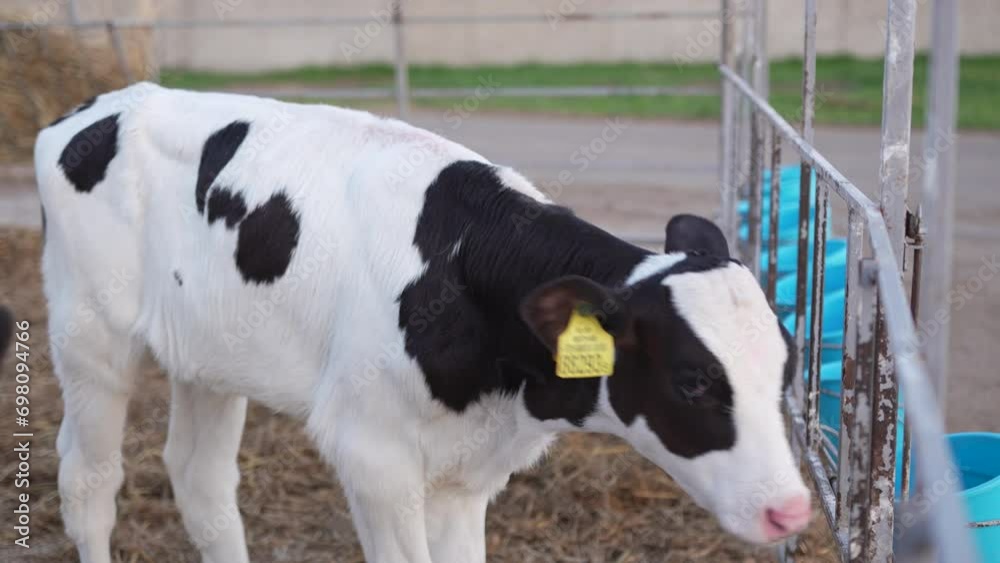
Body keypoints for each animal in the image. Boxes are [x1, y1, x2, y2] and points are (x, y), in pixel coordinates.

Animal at [35, 82, 811, 563]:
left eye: (786, 369)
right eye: (691, 380)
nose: (791, 512)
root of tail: (102, 105)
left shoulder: (466, 473)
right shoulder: (373, 456)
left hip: (210, 356)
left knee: (201, 482)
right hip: (90, 338)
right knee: (89, 481)